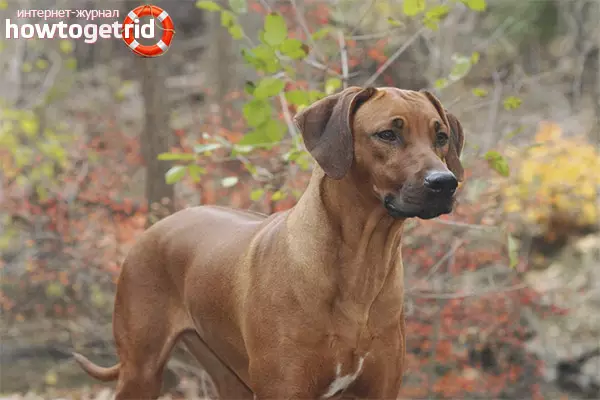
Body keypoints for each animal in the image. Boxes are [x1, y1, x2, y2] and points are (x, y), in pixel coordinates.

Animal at [74, 86, 464, 398]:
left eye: (441, 136)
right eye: (387, 135)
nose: (445, 182)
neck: (361, 266)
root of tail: (157, 224)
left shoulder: (380, 387)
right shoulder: (284, 386)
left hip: (227, 373)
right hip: (140, 369)